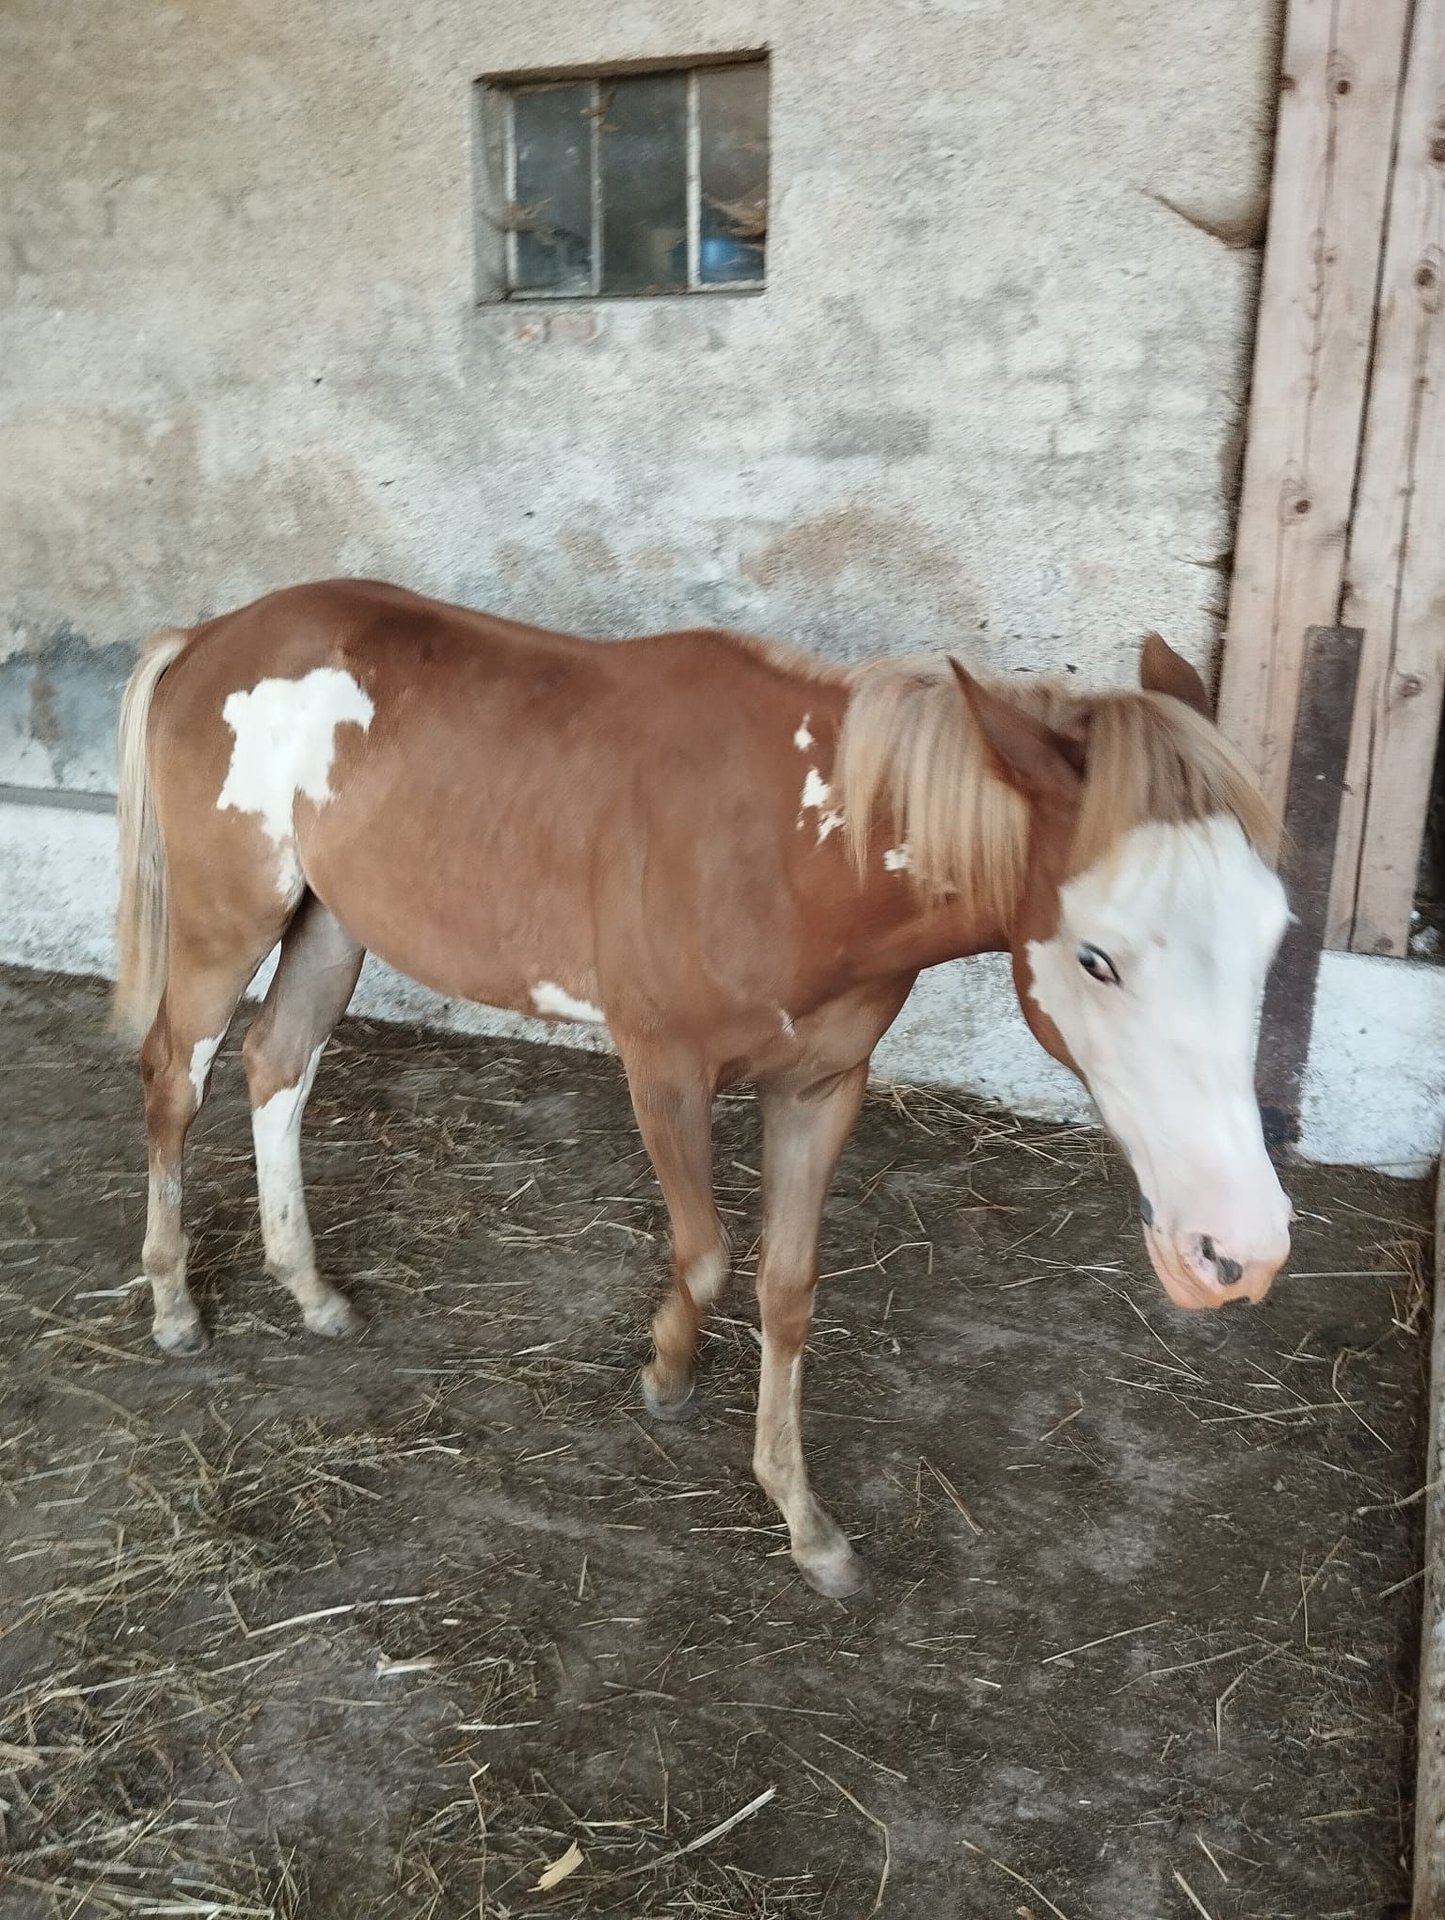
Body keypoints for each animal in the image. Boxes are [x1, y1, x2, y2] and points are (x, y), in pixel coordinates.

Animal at [111, 578, 1291, 1598]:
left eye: (1273, 931)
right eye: (1095, 958)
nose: (1237, 1251)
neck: (795, 847)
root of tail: (210, 636)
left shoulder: (821, 1088)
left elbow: (787, 1286)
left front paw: (803, 1521)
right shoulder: (662, 1069)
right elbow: (708, 1254)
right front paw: (667, 1376)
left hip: (331, 923)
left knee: (279, 1065)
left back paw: (308, 1289)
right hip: (226, 924)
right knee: (175, 1079)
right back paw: (174, 1303)